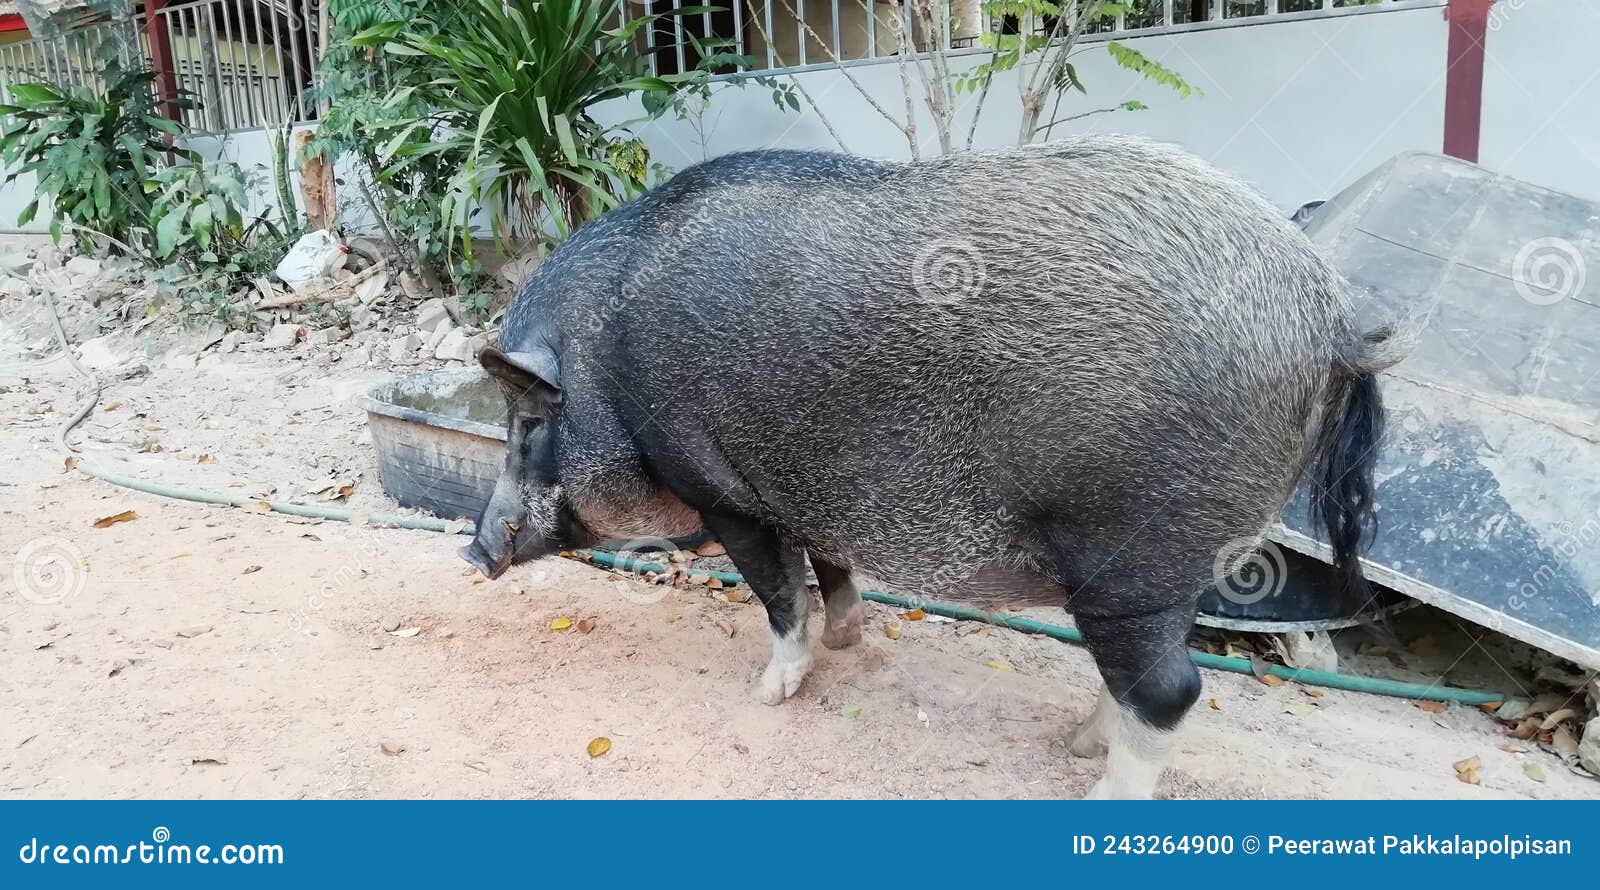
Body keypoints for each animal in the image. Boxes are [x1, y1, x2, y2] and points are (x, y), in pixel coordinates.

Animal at [458, 135, 1402, 798]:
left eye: (527, 422)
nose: (473, 550)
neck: (605, 361)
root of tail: (1330, 318)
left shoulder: (721, 488)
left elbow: (777, 595)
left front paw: (768, 695)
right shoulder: (805, 490)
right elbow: (830, 570)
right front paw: (847, 639)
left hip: (1139, 546)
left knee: (1172, 688)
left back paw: (1096, 794)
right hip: (1161, 571)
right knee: (1145, 672)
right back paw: (1075, 743)